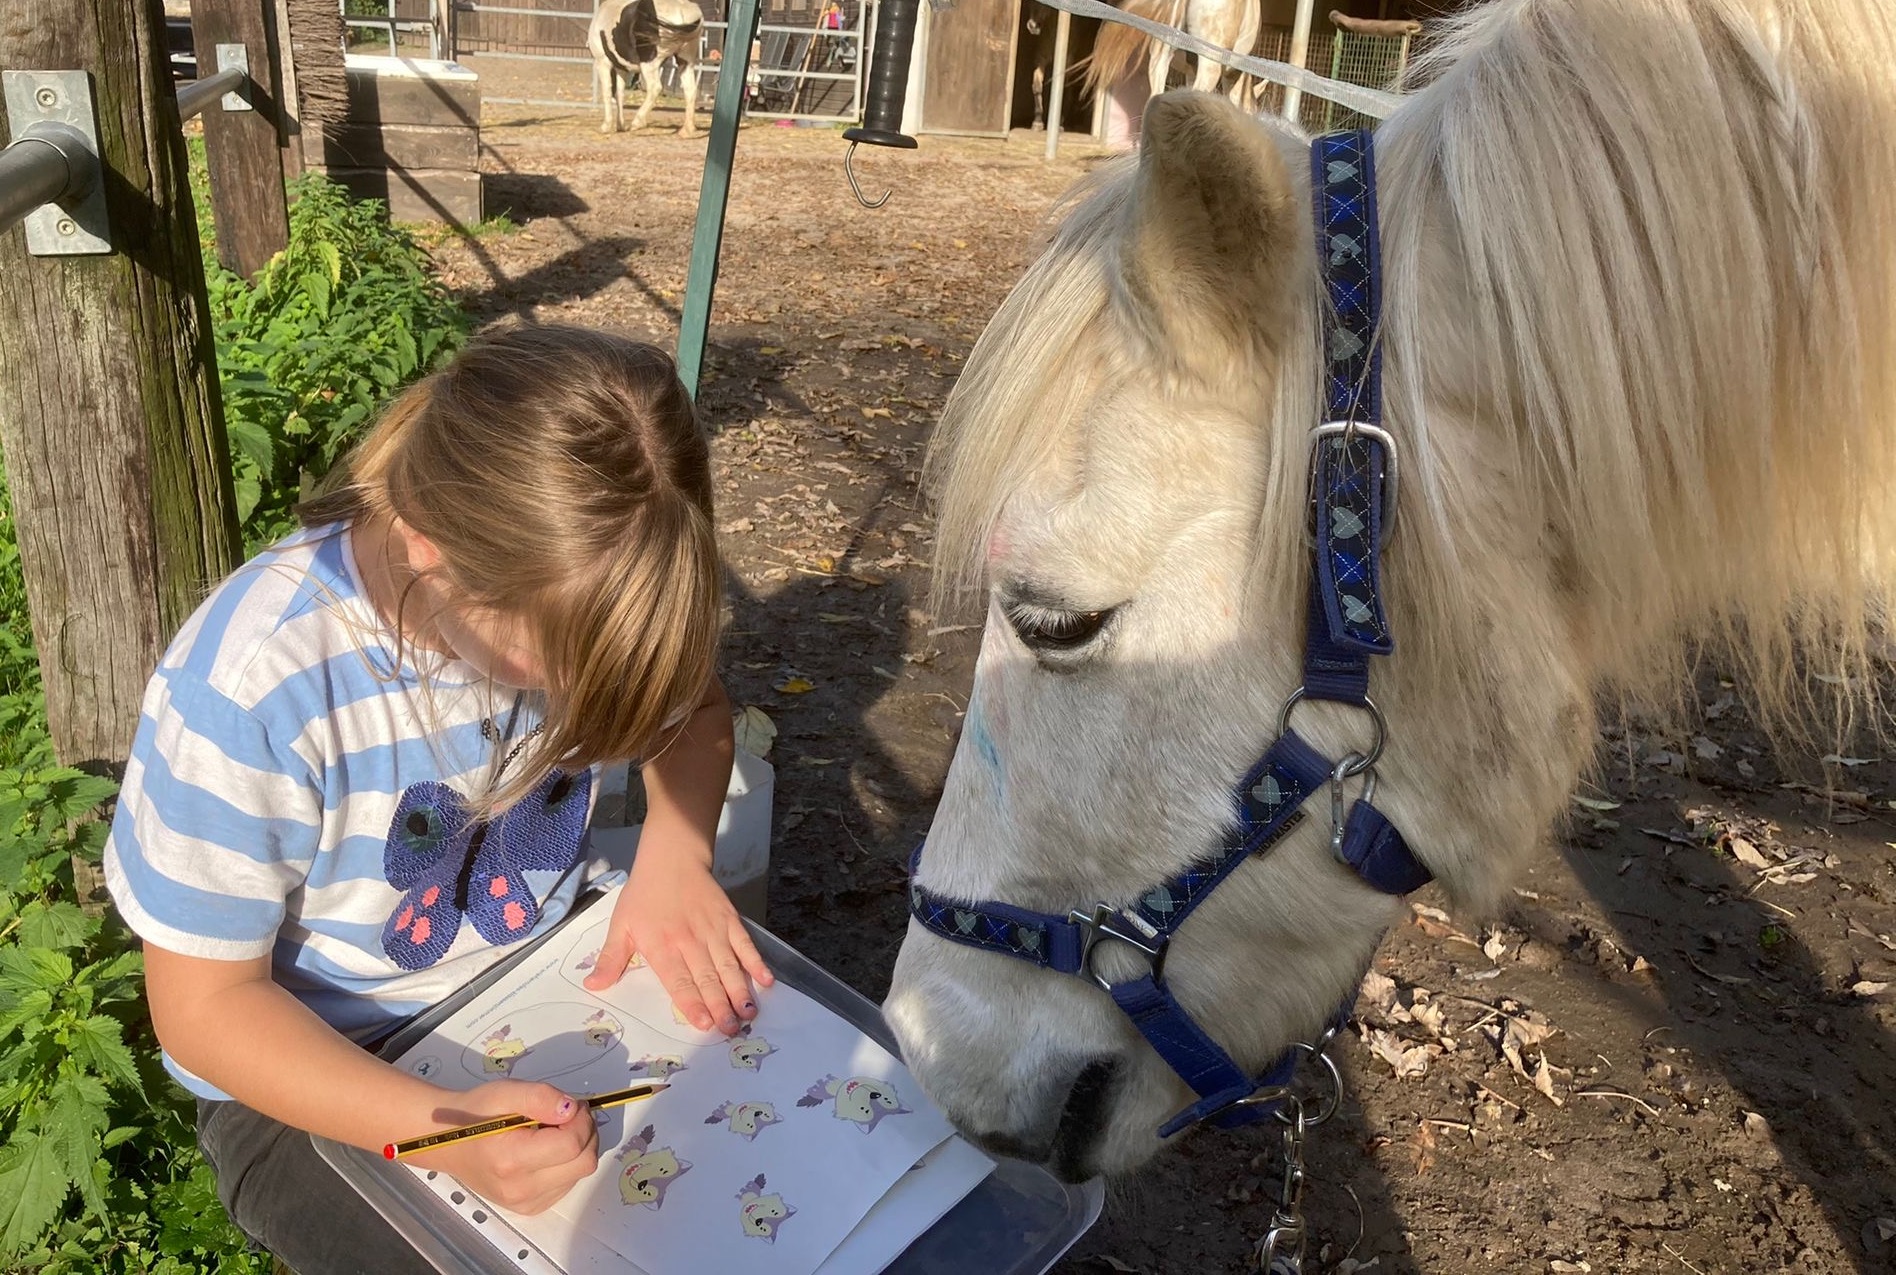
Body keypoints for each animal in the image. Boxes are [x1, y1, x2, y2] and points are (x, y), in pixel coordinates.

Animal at [590, 0, 705, 138]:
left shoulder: (603, 62)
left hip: (650, 64)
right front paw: (620, 126)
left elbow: (607, 92)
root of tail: (681, 11)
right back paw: (687, 131)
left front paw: (605, 127)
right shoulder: (621, 68)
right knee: (690, 90)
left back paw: (637, 123)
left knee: (655, 88)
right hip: (685, 60)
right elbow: (619, 94)